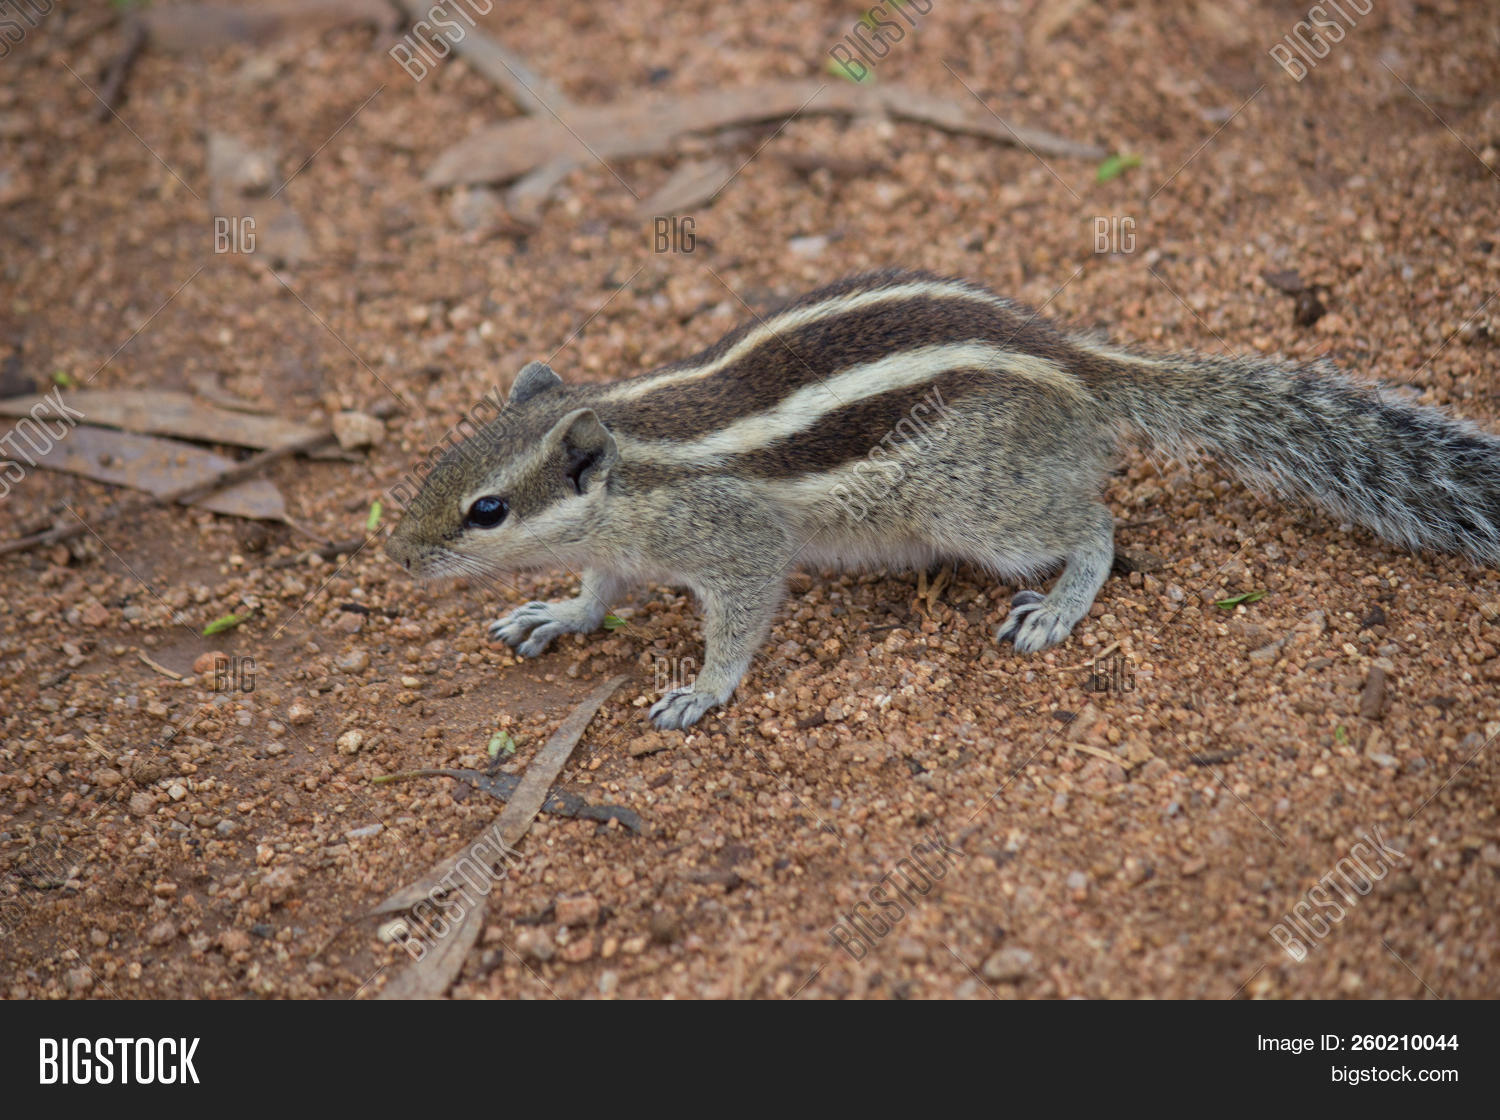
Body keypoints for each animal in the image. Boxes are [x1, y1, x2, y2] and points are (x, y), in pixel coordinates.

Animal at [385, 269, 1500, 730]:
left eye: (486, 511)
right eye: (438, 469)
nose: (397, 555)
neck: (630, 453)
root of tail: (1077, 365)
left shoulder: (732, 536)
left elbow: (742, 608)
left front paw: (705, 686)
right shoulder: (620, 549)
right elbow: (597, 589)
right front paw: (555, 614)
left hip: (971, 507)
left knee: (1093, 521)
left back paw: (1060, 603)